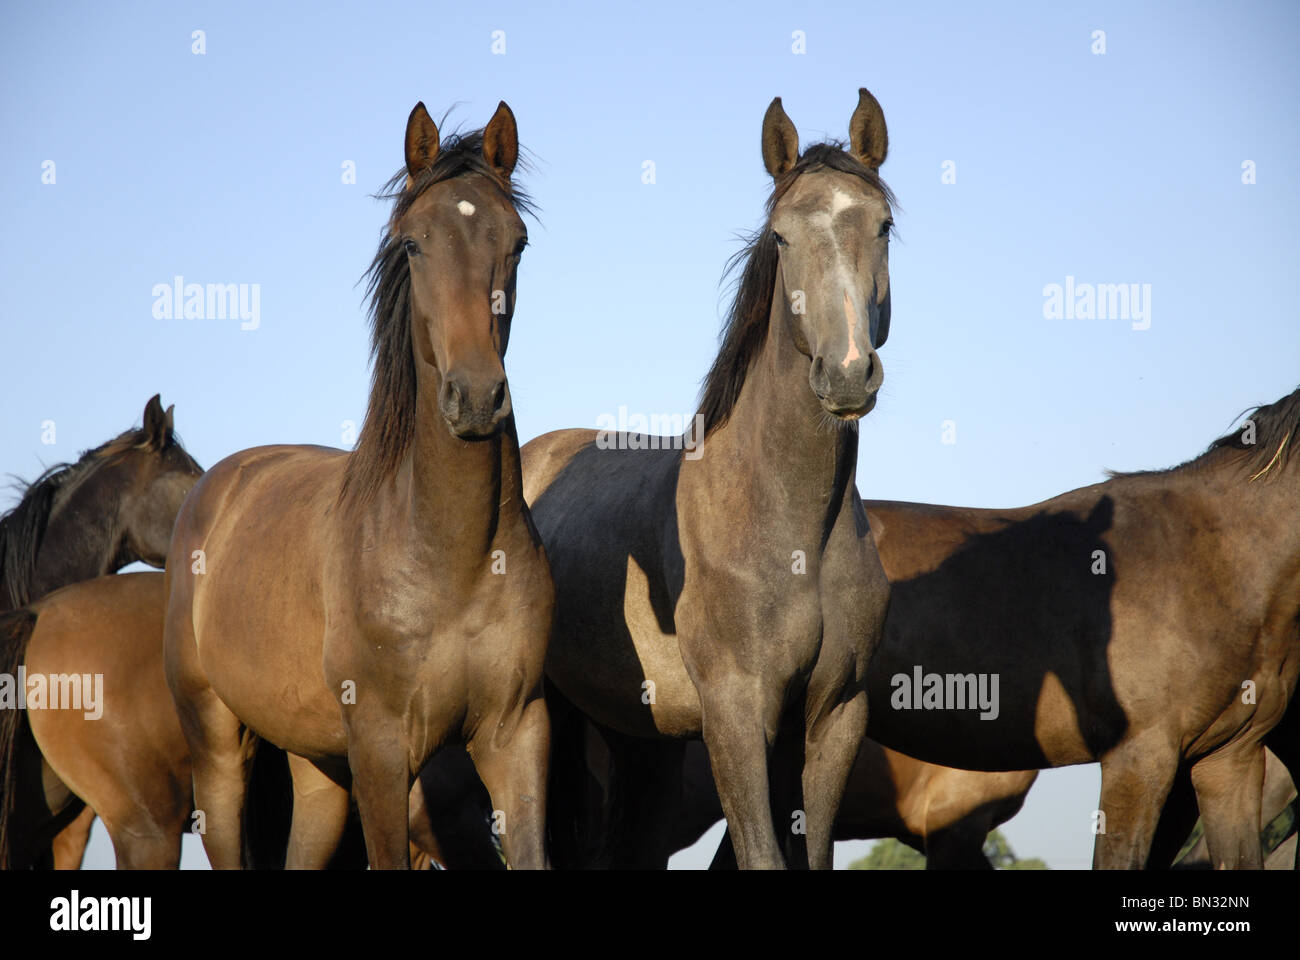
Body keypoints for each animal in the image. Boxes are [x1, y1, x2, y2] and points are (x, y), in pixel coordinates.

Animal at [163, 101, 553, 869]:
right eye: (413, 245)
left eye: (517, 244)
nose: (475, 398)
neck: (453, 557)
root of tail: (217, 487)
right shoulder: (380, 747)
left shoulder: (515, 733)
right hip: (218, 752)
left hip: (319, 770)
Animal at [522, 90, 896, 869]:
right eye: (780, 237)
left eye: (884, 226)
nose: (848, 372)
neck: (792, 529)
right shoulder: (735, 714)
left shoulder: (833, 717)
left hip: (634, 734)